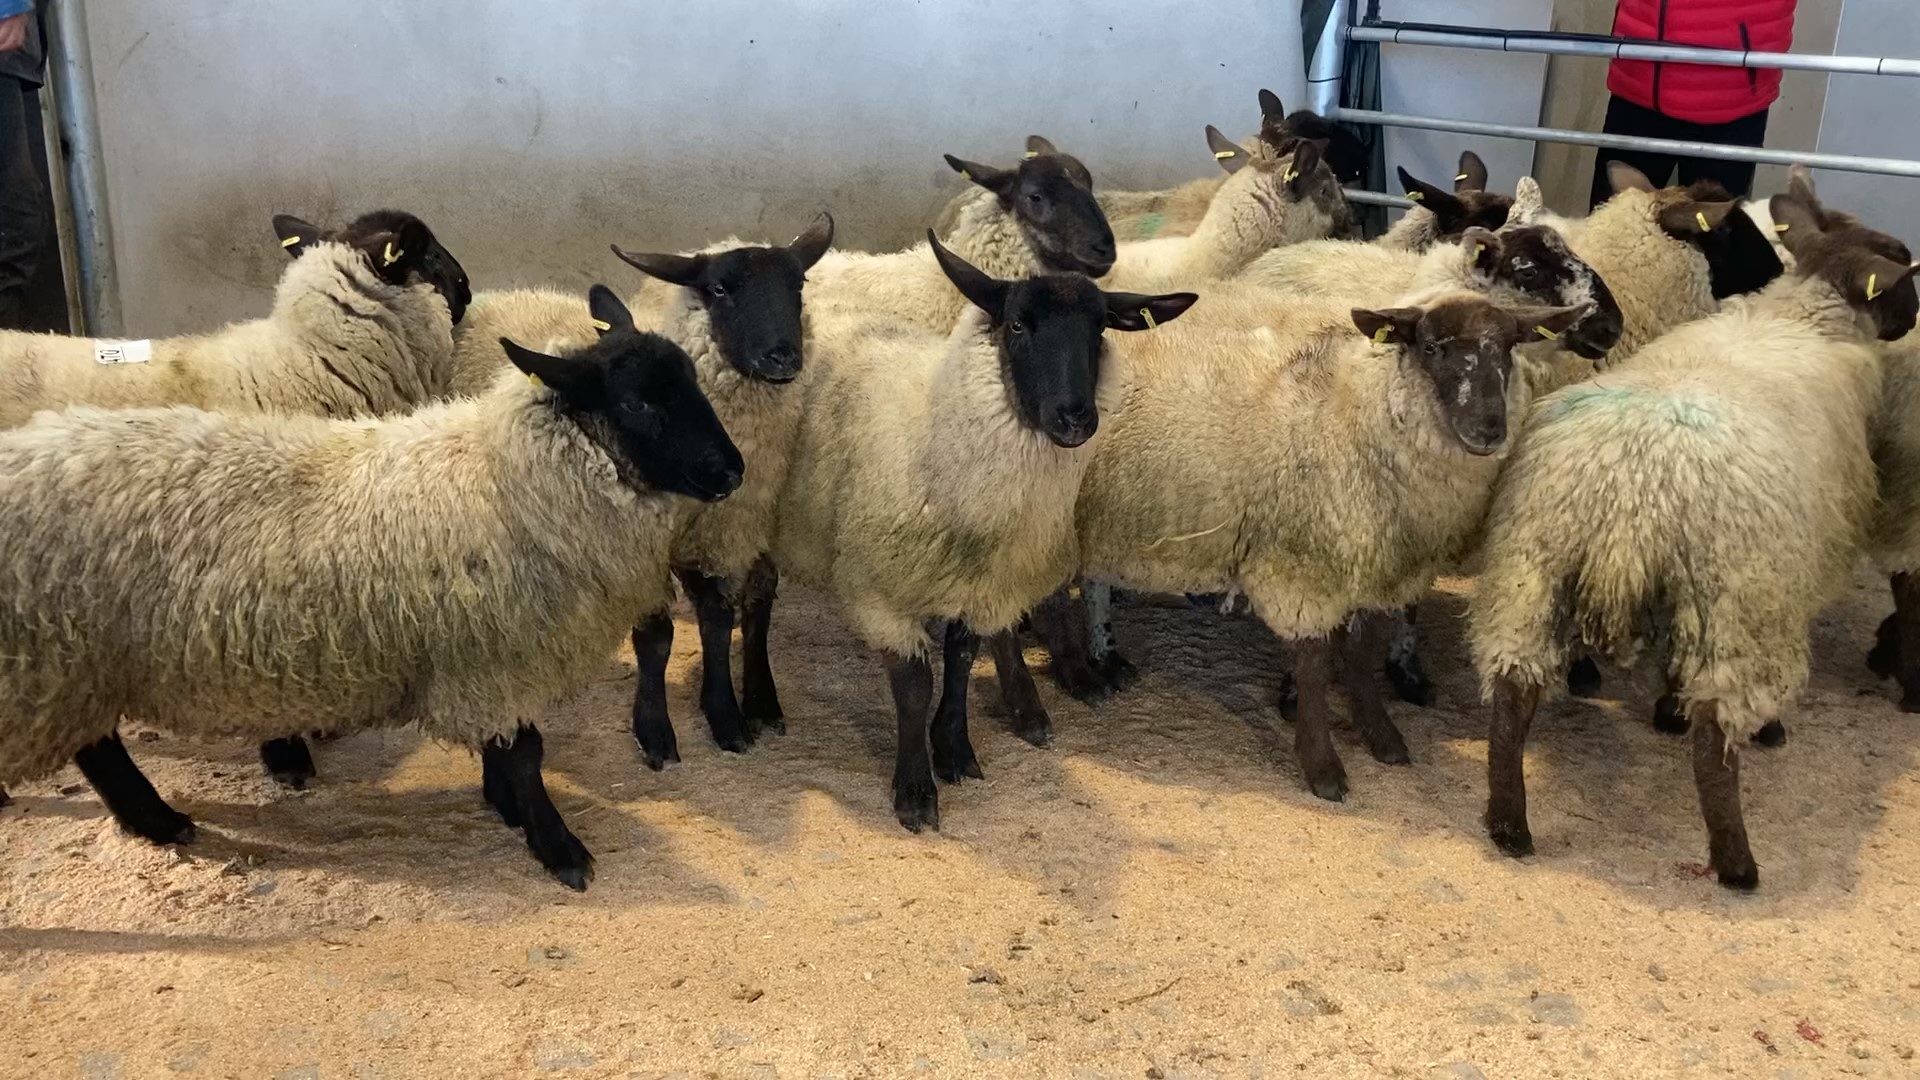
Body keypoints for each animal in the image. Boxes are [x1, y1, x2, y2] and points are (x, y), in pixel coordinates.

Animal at [0, 286, 744, 890]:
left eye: (691, 381)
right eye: (640, 401)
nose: (733, 472)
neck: (506, 475)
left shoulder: (479, 660)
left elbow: (508, 751)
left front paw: (504, 806)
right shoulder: (493, 659)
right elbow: (526, 754)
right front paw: (557, 847)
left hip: (74, 660)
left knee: (97, 746)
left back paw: (155, 821)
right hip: (57, 660)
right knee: (97, 747)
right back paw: (156, 819)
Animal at [770, 233, 1196, 832]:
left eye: (1099, 329)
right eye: (1017, 325)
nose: (1075, 418)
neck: (932, 433)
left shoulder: (978, 582)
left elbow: (961, 661)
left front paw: (954, 749)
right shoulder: (882, 594)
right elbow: (914, 687)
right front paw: (916, 790)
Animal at [1065, 286, 1586, 800]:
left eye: (1508, 348)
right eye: (1432, 347)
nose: (1487, 430)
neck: (1359, 403)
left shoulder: (1374, 565)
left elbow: (1360, 654)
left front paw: (1380, 734)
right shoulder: (1302, 565)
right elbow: (1315, 665)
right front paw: (1322, 766)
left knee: (1093, 581)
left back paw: (1105, 659)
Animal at [1469, 187, 1918, 890]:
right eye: (1899, 263)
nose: (1913, 319)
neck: (1802, 318)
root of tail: (1632, 494)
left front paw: (1662, 706)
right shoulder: (1782, 580)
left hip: (1530, 570)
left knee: (1514, 691)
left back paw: (1509, 824)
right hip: (1734, 600)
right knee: (1715, 734)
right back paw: (1737, 861)